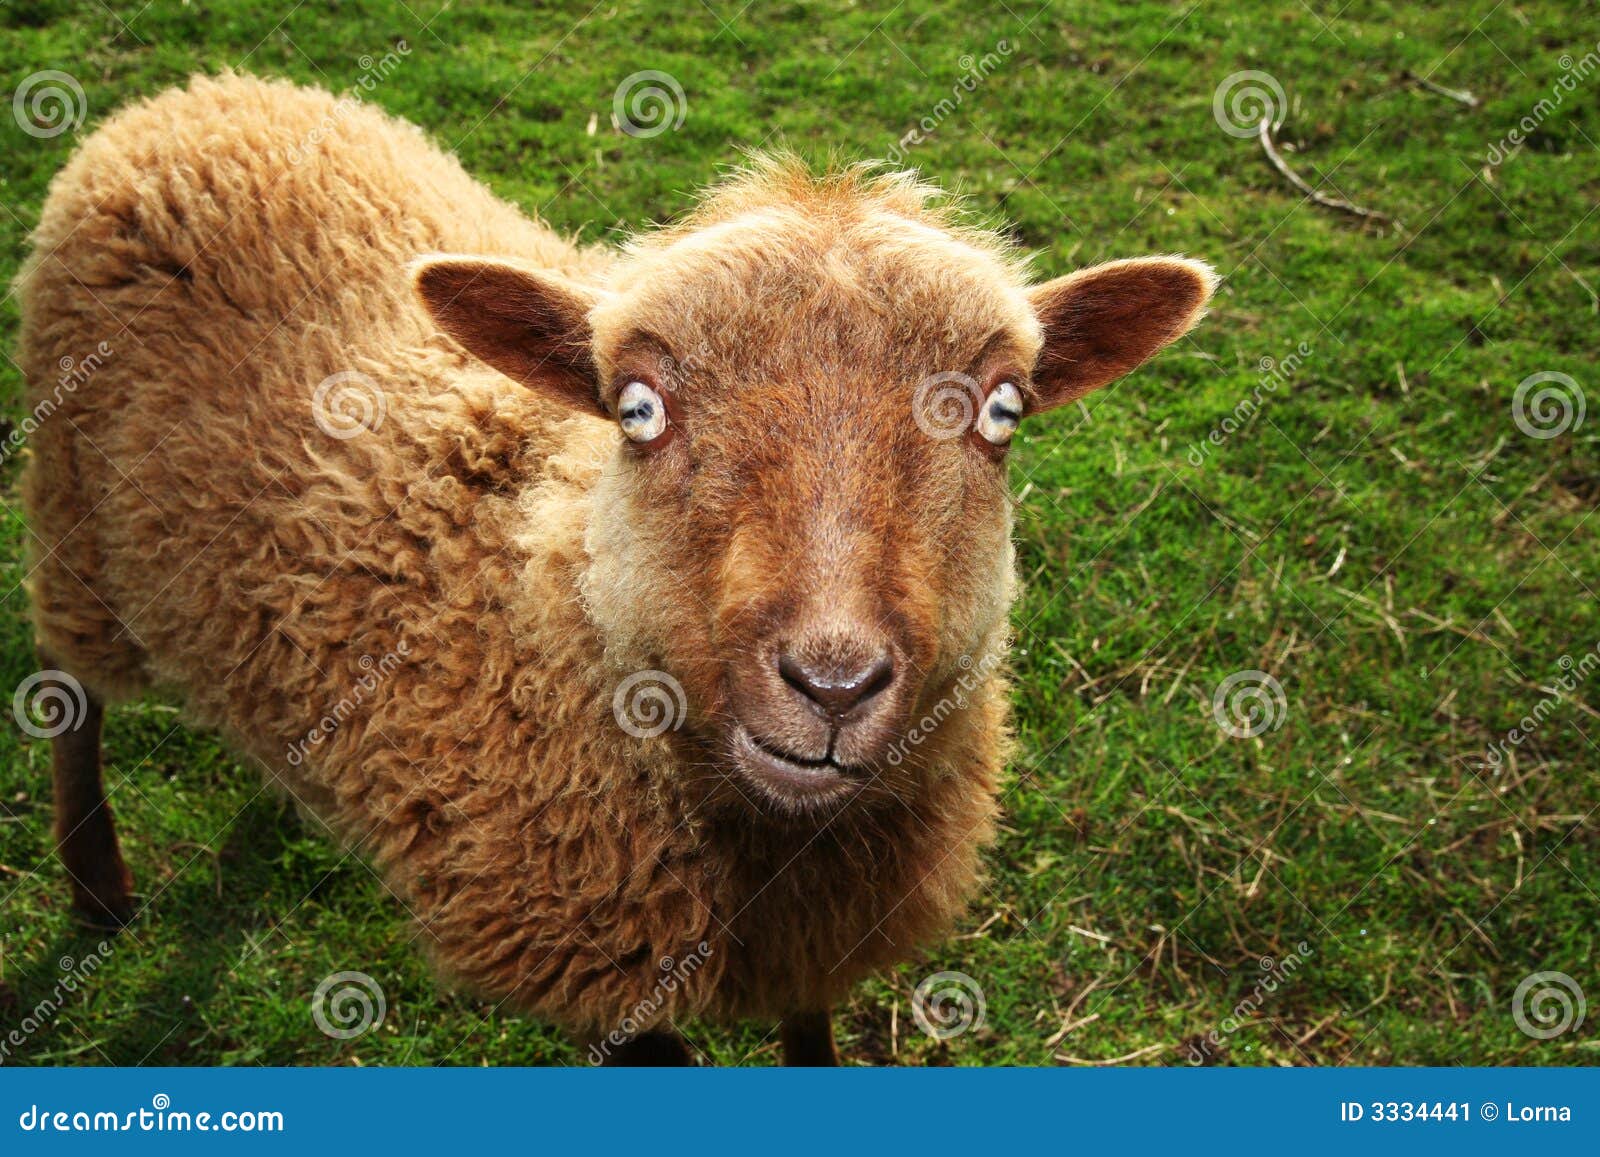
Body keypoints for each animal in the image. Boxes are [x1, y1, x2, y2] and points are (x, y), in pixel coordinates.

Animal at [15, 73, 1215, 1065]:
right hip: (72, 523)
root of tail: (187, 102)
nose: (830, 683)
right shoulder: (595, 958)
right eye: (637, 408)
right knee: (67, 688)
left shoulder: (816, 936)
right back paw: (96, 885)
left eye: (1003, 409)